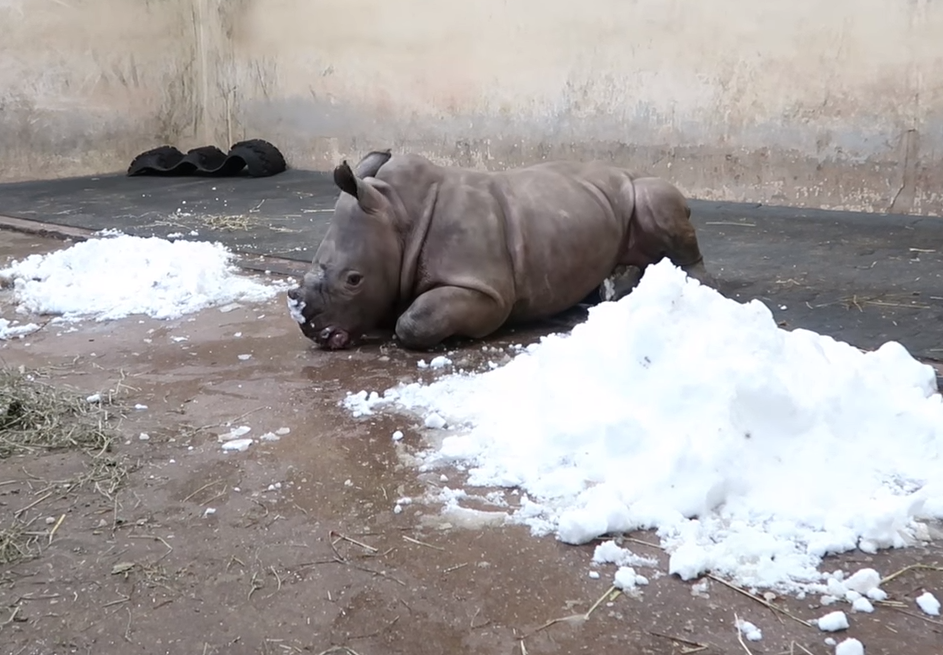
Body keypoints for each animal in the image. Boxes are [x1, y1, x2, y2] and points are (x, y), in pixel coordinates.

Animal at [286, 149, 713, 351]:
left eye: (353, 279)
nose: (311, 331)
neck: (397, 214)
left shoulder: (486, 289)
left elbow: (413, 321)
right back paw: (610, 291)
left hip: (650, 189)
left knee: (660, 208)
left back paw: (695, 285)